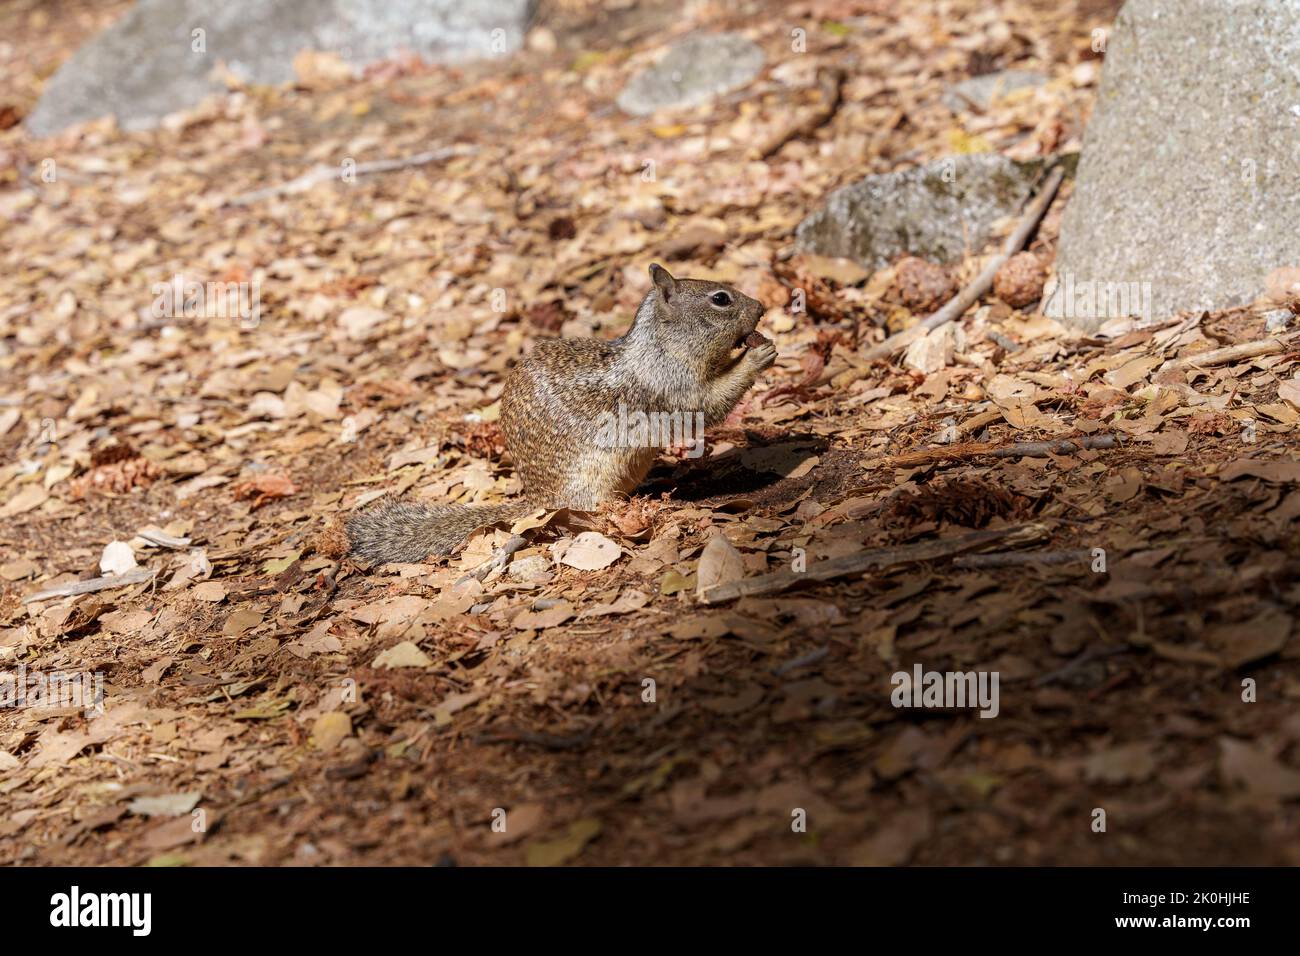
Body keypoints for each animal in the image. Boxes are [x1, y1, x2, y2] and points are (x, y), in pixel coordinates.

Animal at [346, 264, 777, 564]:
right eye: (720, 299)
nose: (762, 306)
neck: (662, 347)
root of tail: (538, 496)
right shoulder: (671, 389)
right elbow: (710, 403)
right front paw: (756, 357)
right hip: (587, 486)